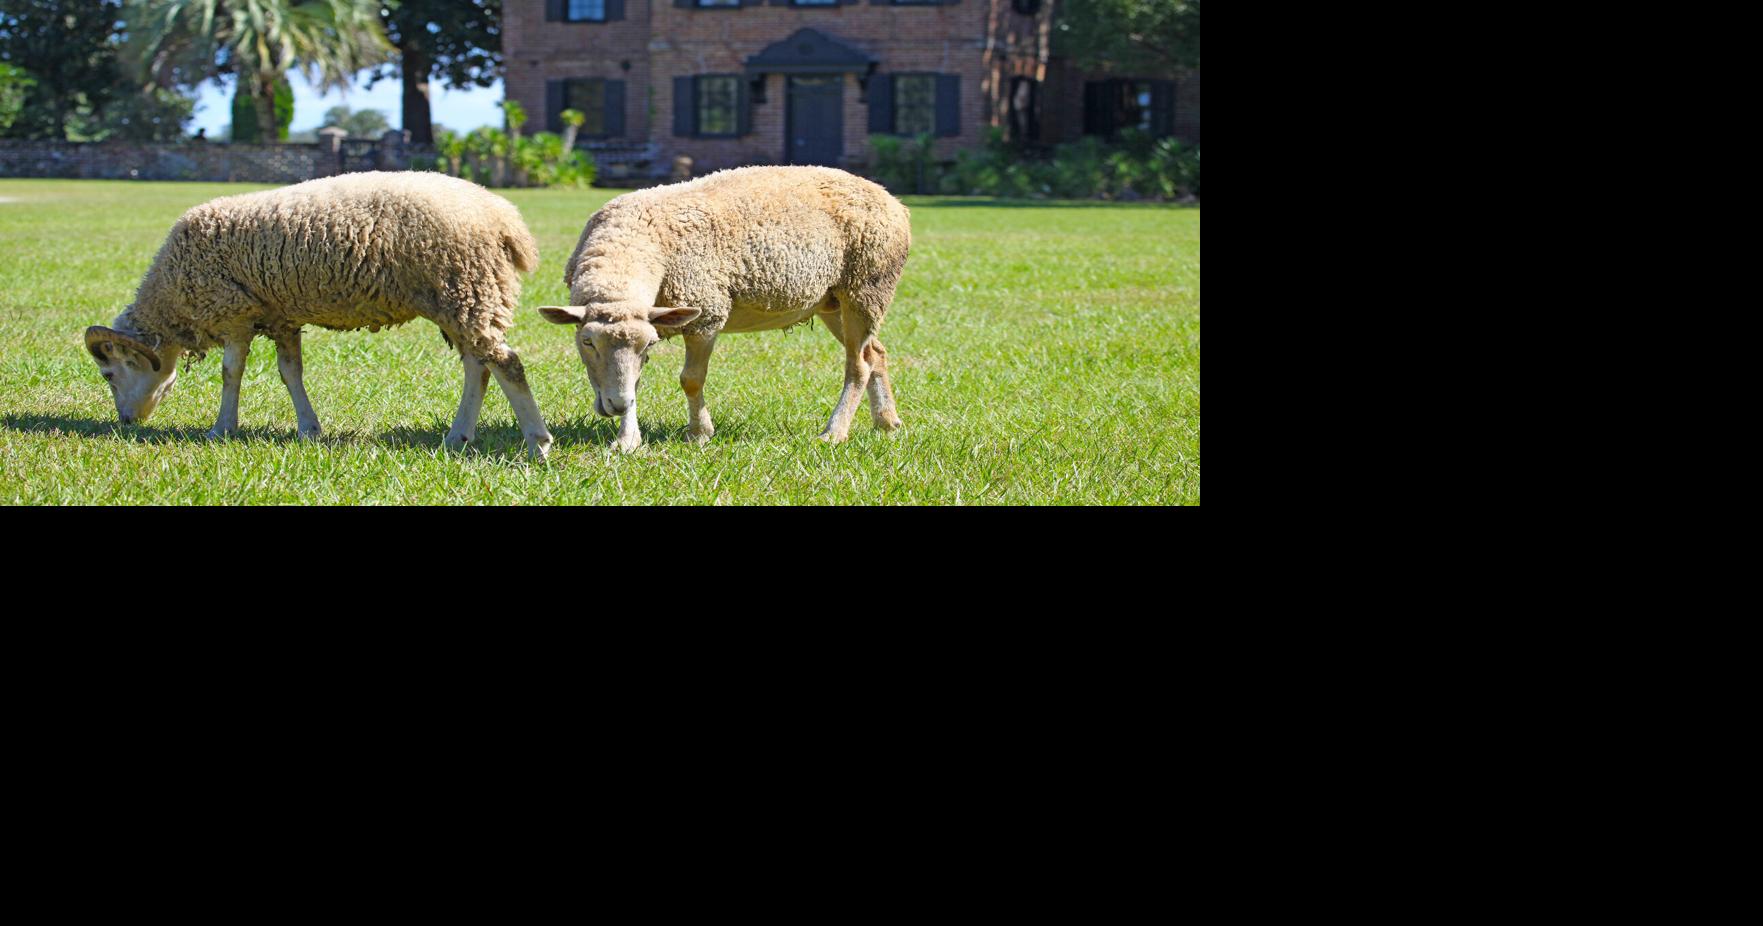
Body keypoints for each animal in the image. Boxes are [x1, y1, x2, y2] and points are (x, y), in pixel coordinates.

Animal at [81, 171, 554, 460]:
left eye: (109, 374)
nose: (126, 423)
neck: (172, 295)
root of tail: (505, 219)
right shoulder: (280, 316)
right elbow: (291, 372)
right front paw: (309, 429)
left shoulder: (234, 311)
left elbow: (231, 372)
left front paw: (222, 429)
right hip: (462, 297)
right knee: (479, 365)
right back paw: (458, 436)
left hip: (465, 287)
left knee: (506, 363)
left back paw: (538, 442)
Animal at [539, 165, 910, 452]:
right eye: (587, 342)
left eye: (650, 343)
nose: (615, 406)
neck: (635, 240)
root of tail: (893, 200)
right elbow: (634, 382)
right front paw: (627, 440)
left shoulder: (707, 313)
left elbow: (691, 380)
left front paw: (699, 434)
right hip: (832, 302)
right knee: (876, 353)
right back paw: (886, 422)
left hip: (866, 287)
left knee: (859, 364)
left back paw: (834, 432)